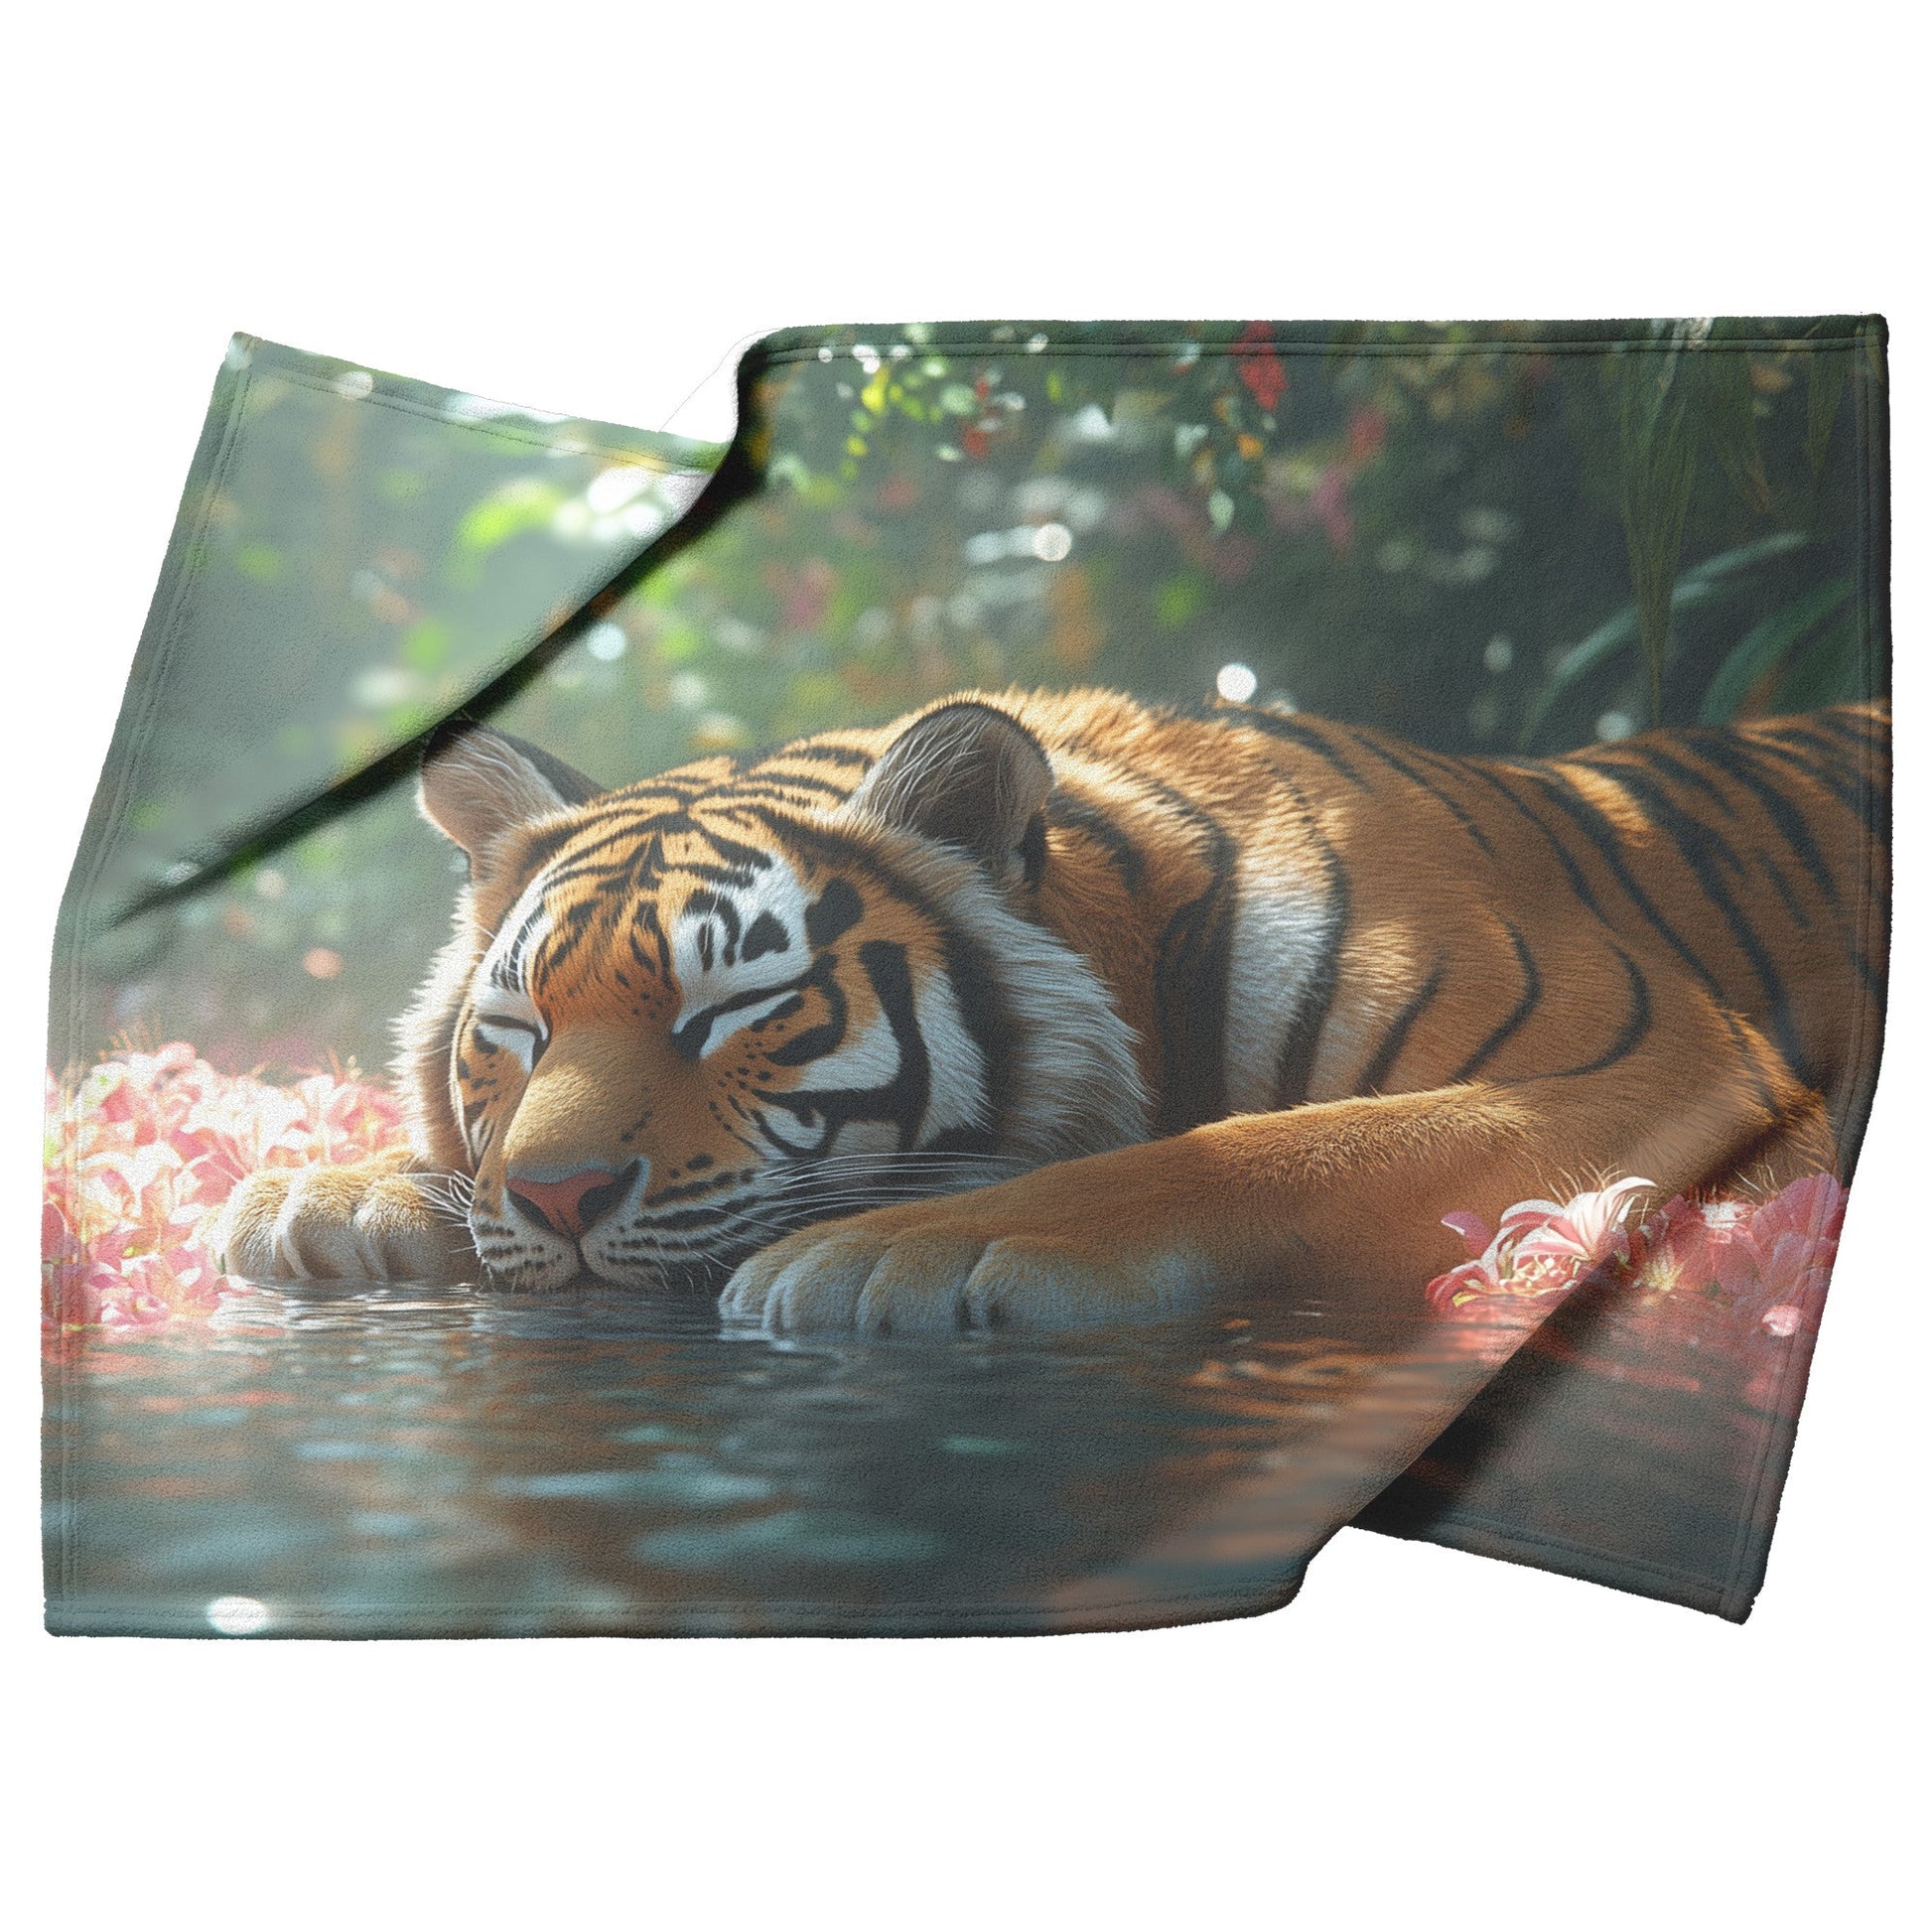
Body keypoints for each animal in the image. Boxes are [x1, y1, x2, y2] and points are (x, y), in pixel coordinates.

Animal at [216, 689, 1889, 1333]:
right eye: (517, 1037)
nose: (556, 1196)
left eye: (731, 1010)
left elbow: (1271, 1146)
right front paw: (329, 1194)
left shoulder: (1653, 1061)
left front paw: (886, 1254)